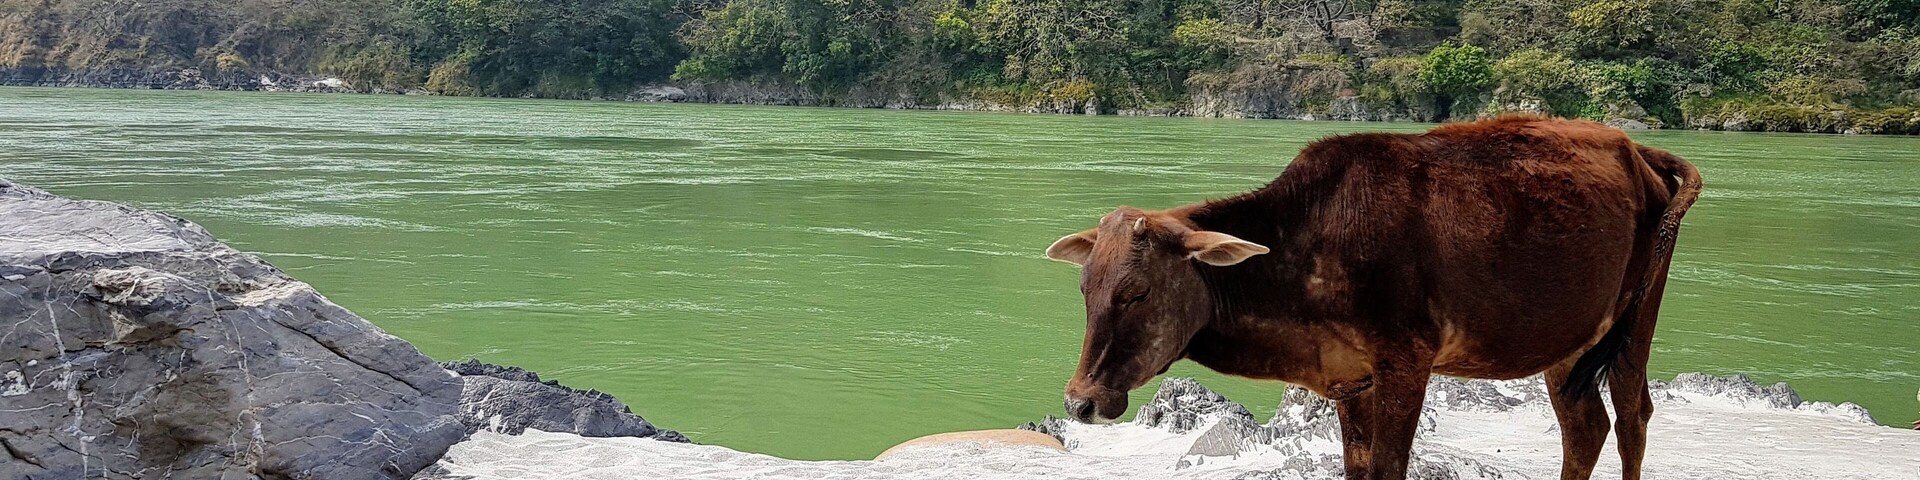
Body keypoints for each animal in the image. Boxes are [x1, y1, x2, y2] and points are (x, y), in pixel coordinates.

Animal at [1044, 116, 1702, 480]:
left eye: (1136, 292)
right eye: (1084, 288)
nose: (1080, 400)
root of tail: (1639, 151)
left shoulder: (1406, 360)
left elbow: (1389, 468)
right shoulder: (1350, 380)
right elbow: (1357, 467)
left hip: (1636, 322)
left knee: (1633, 419)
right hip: (1568, 345)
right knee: (1585, 427)